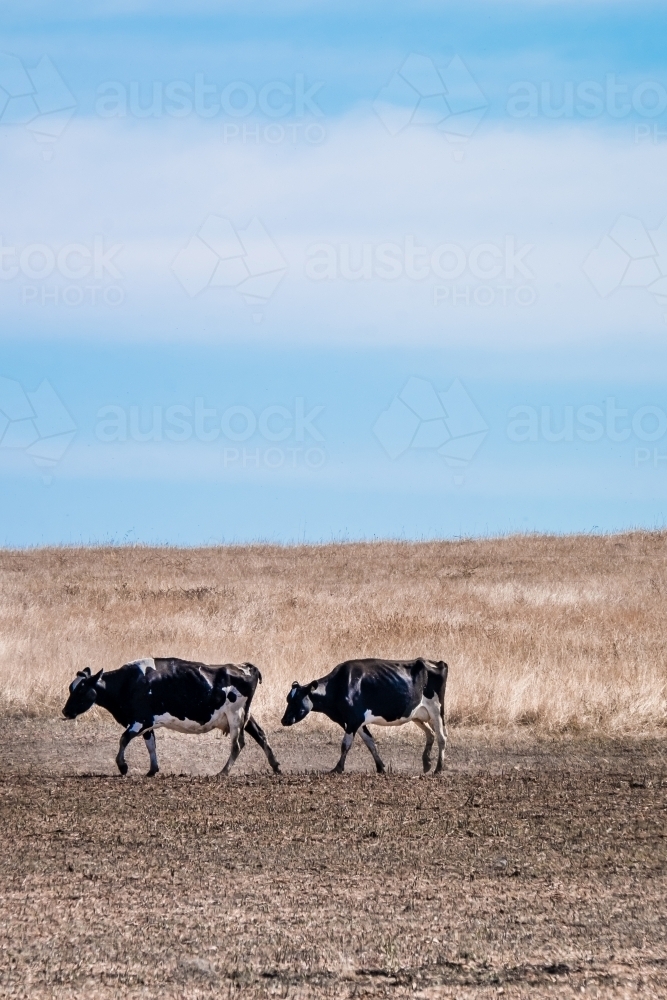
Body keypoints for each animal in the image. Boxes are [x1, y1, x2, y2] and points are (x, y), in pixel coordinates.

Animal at [62, 657, 281, 777]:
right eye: (71, 688)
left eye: (81, 689)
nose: (65, 711)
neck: (129, 682)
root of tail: (245, 666)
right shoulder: (147, 723)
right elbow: (151, 744)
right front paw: (152, 770)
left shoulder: (140, 720)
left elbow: (123, 738)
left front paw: (123, 766)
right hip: (246, 716)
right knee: (260, 735)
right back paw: (276, 766)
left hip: (236, 715)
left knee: (238, 744)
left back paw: (223, 772)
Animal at [281, 657, 448, 774]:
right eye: (288, 699)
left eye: (296, 700)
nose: (284, 720)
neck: (338, 687)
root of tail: (435, 662)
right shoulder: (354, 722)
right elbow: (370, 742)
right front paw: (381, 767)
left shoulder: (353, 720)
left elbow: (345, 744)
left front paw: (338, 768)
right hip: (417, 715)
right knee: (431, 733)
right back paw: (427, 764)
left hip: (437, 710)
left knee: (442, 736)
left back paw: (438, 768)